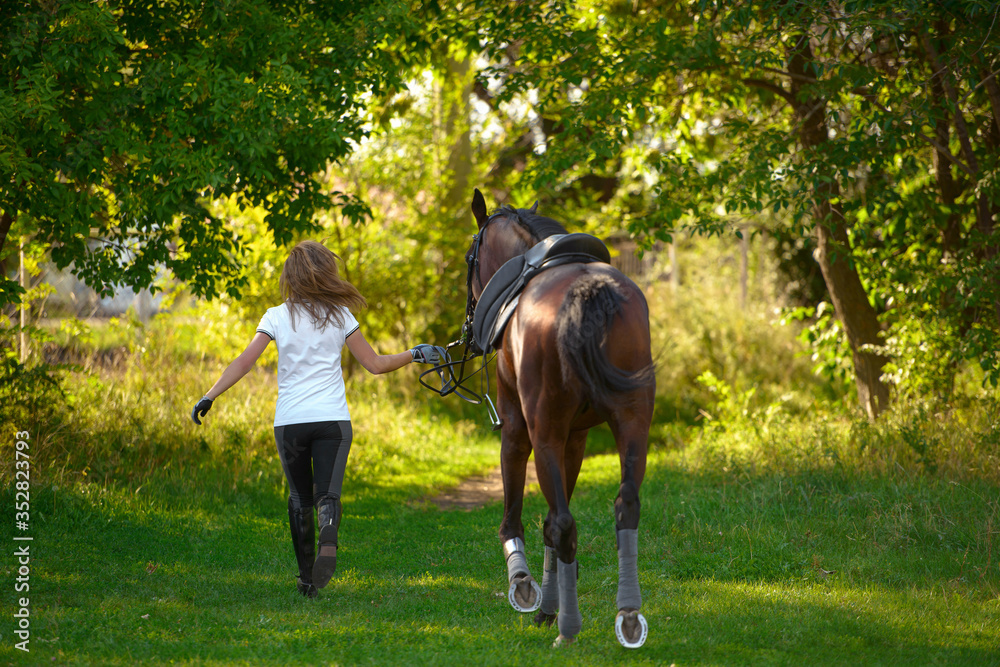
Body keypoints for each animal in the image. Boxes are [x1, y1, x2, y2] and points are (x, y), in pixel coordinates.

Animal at [462, 189, 655, 648]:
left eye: (469, 258)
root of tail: (588, 290)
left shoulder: (519, 427)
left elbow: (517, 518)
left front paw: (525, 587)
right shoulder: (576, 438)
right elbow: (551, 520)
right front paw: (547, 606)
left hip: (543, 428)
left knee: (565, 523)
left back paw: (568, 629)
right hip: (632, 422)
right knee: (625, 506)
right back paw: (628, 615)